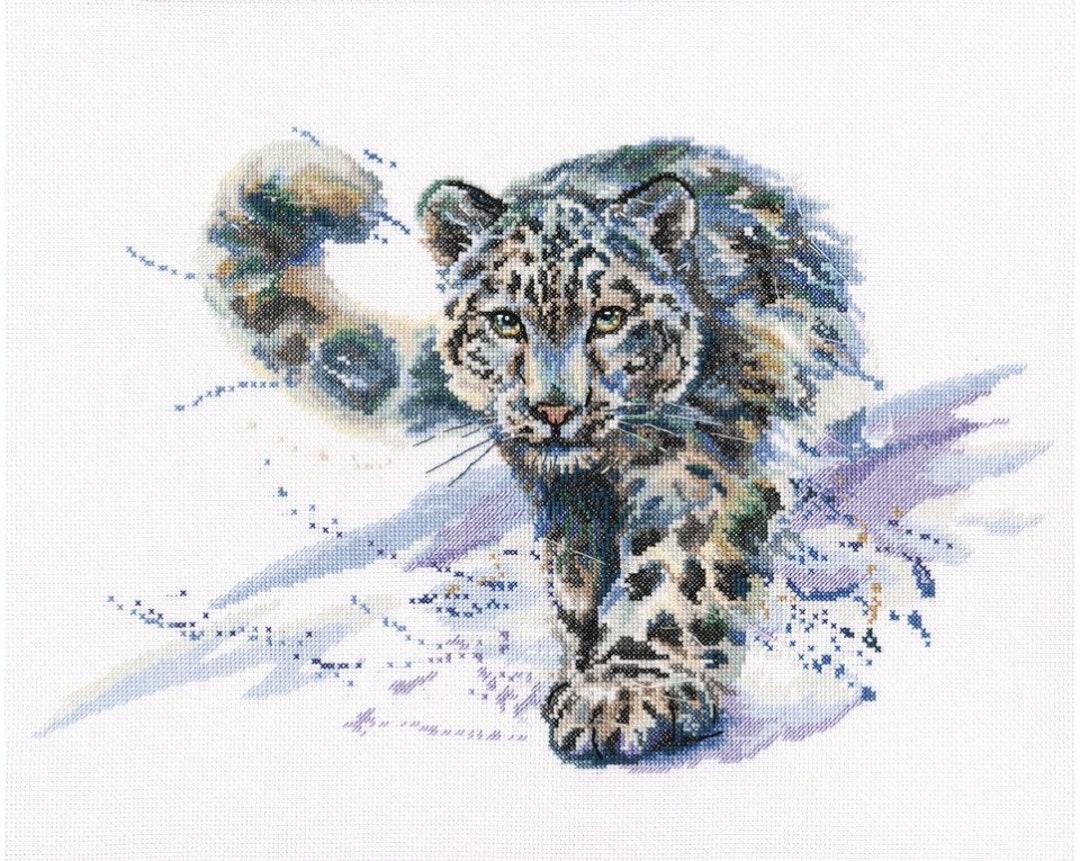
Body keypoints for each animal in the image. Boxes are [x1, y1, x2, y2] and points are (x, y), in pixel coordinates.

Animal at [202, 138, 865, 763]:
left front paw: (624, 691)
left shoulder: (700, 468)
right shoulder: (566, 502)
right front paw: (589, 676)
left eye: (610, 316)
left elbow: (672, 575)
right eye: (504, 321)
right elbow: (579, 587)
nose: (553, 408)